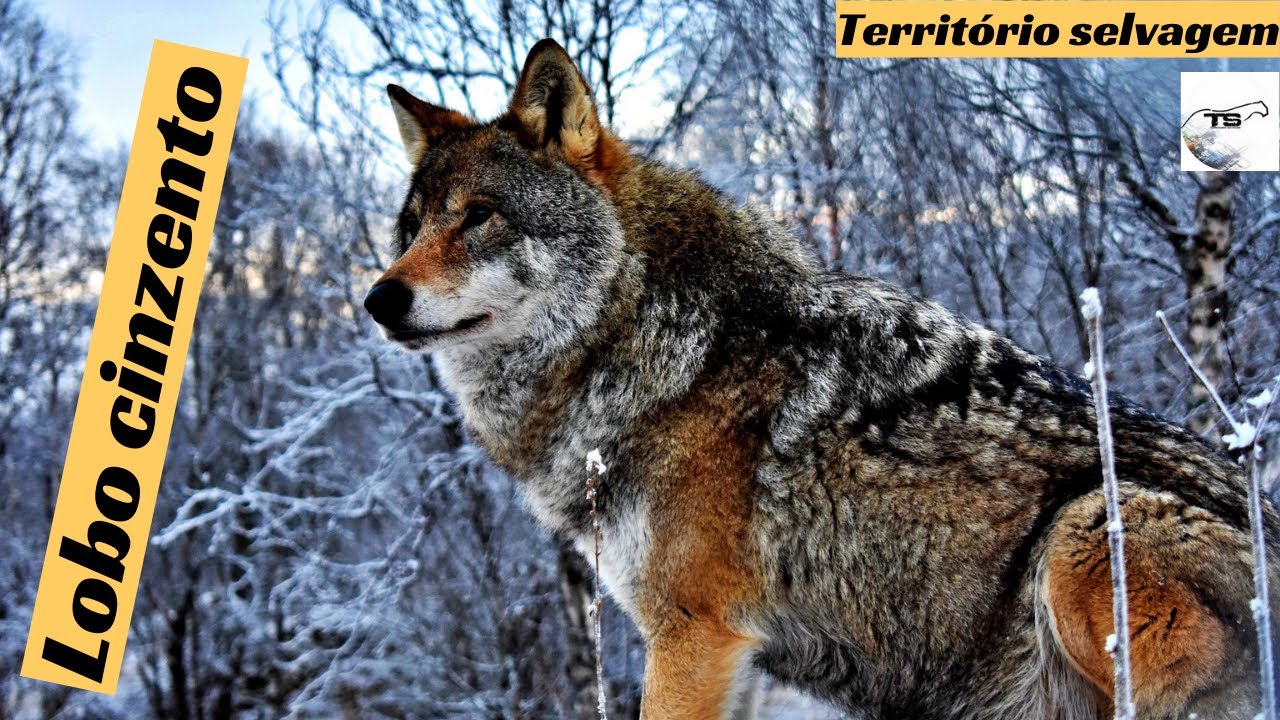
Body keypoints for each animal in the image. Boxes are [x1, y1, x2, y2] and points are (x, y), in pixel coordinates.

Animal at [364, 39, 1280, 719]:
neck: (656, 345)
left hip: (1084, 529)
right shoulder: (740, 657)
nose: (377, 298)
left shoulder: (694, 636)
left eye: (479, 217)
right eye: (410, 227)